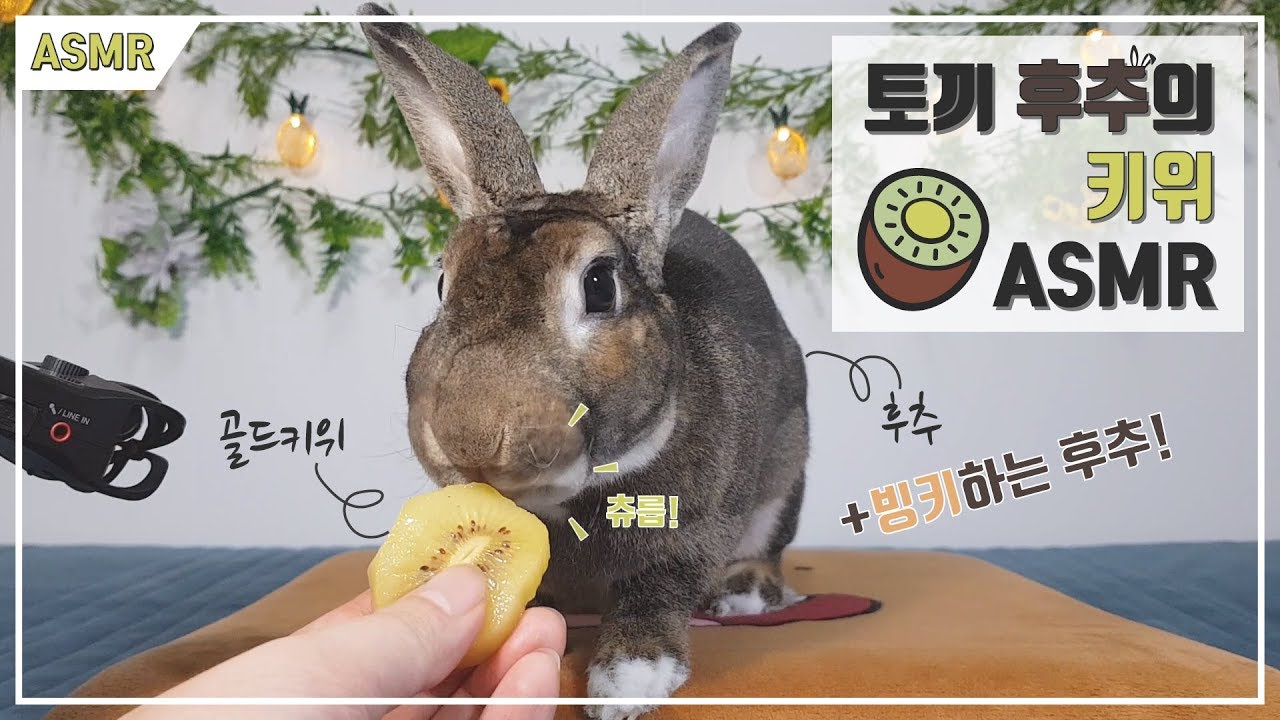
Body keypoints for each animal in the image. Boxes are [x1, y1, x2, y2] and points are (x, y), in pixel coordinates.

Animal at [359, 5, 809, 718]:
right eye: (441, 283)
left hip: (787, 468)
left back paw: (742, 593)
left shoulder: (693, 531)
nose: (473, 440)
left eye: (599, 285)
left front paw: (626, 684)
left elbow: (658, 594)